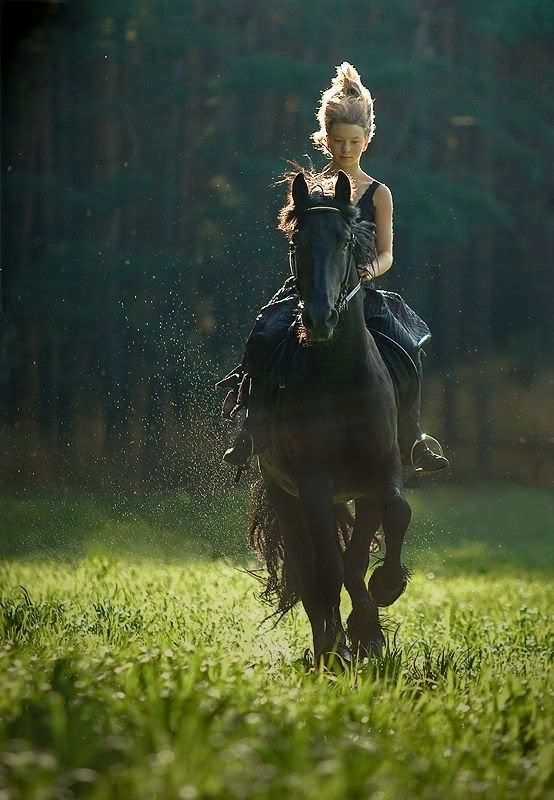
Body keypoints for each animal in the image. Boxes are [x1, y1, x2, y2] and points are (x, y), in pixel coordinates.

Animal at [247, 171, 412, 666]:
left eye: (344, 240)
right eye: (297, 241)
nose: (319, 319)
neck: (341, 377)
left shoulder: (380, 472)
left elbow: (388, 522)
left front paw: (379, 603)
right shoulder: (314, 481)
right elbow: (330, 567)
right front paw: (341, 645)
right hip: (285, 494)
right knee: (309, 568)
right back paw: (326, 645)